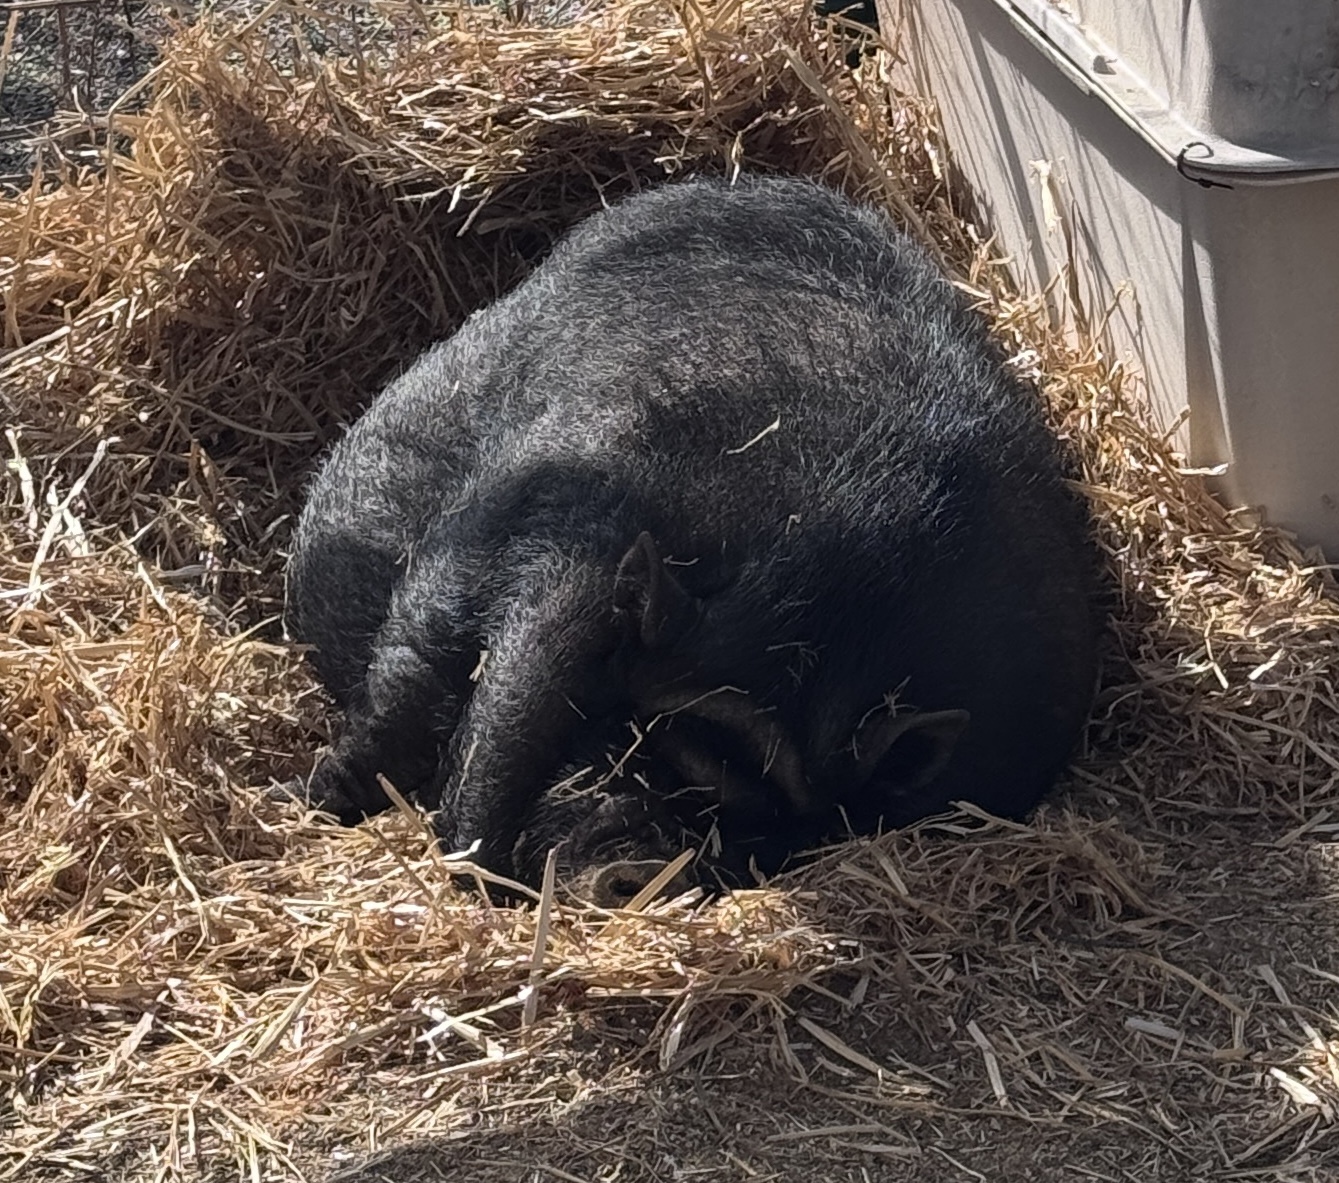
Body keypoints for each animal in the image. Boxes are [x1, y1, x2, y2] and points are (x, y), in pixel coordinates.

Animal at [284, 174, 1101, 902]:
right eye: (637, 736)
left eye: (768, 813)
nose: (638, 870)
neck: (832, 601)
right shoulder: (544, 520)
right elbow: (449, 676)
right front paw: (327, 801)